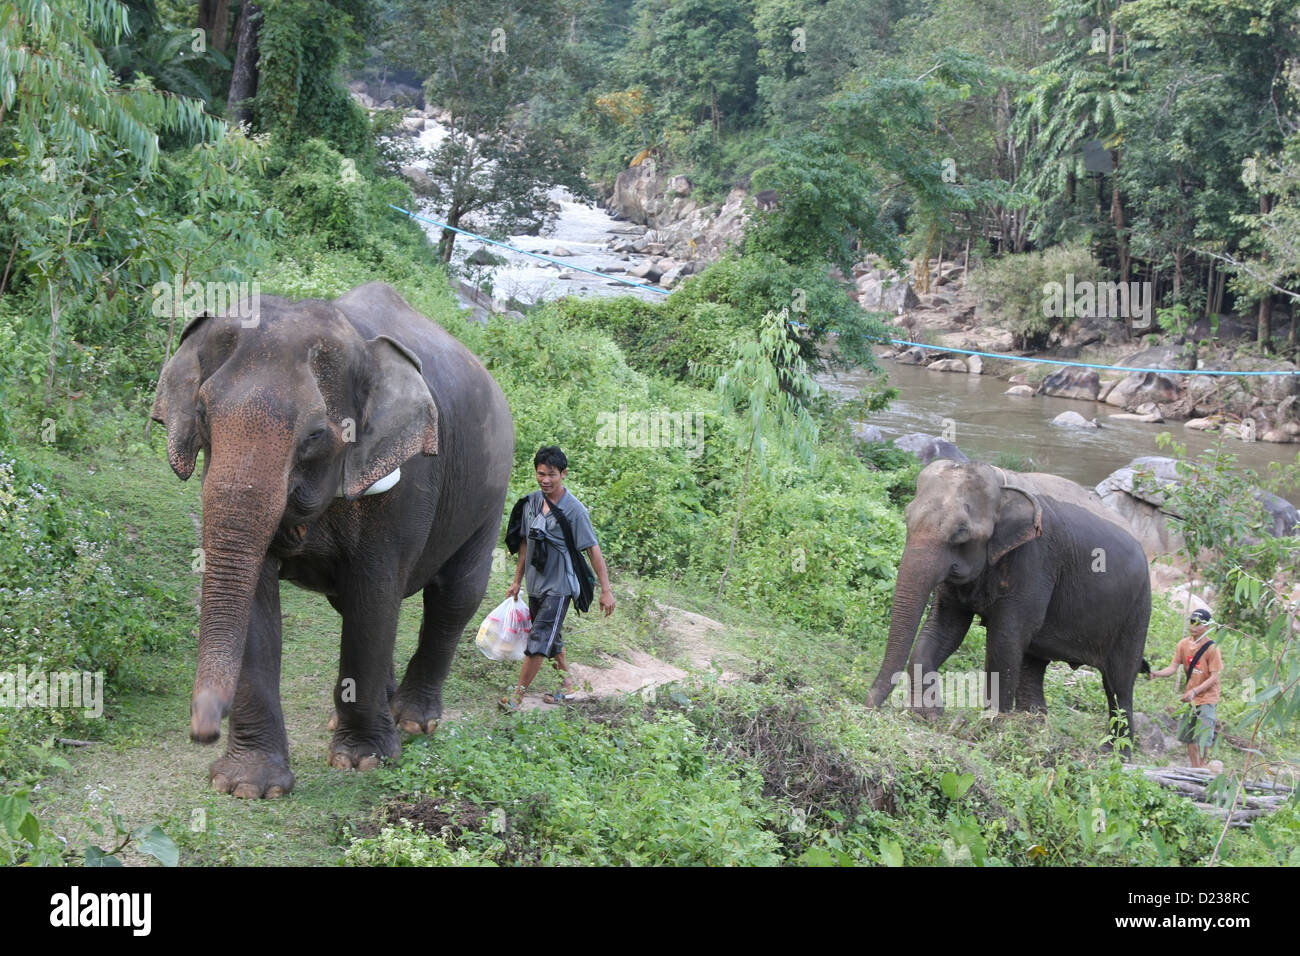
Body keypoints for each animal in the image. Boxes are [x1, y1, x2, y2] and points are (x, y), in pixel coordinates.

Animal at [150, 282, 514, 797]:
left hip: (490, 489)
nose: (203, 730)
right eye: (201, 413)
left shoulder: (406, 487)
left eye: (316, 434)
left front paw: (362, 761)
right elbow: (262, 597)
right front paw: (248, 786)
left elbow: (374, 591)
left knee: (455, 594)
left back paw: (411, 722)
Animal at [865, 460, 1151, 745]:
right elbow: (944, 629)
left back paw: (1114, 750)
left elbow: (1006, 639)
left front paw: (986, 731)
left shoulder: (1035, 559)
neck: (999, 480)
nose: (868, 707)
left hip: (1137, 613)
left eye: (961, 532)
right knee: (1034, 663)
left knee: (1119, 685)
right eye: (906, 517)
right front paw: (927, 715)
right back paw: (1033, 730)